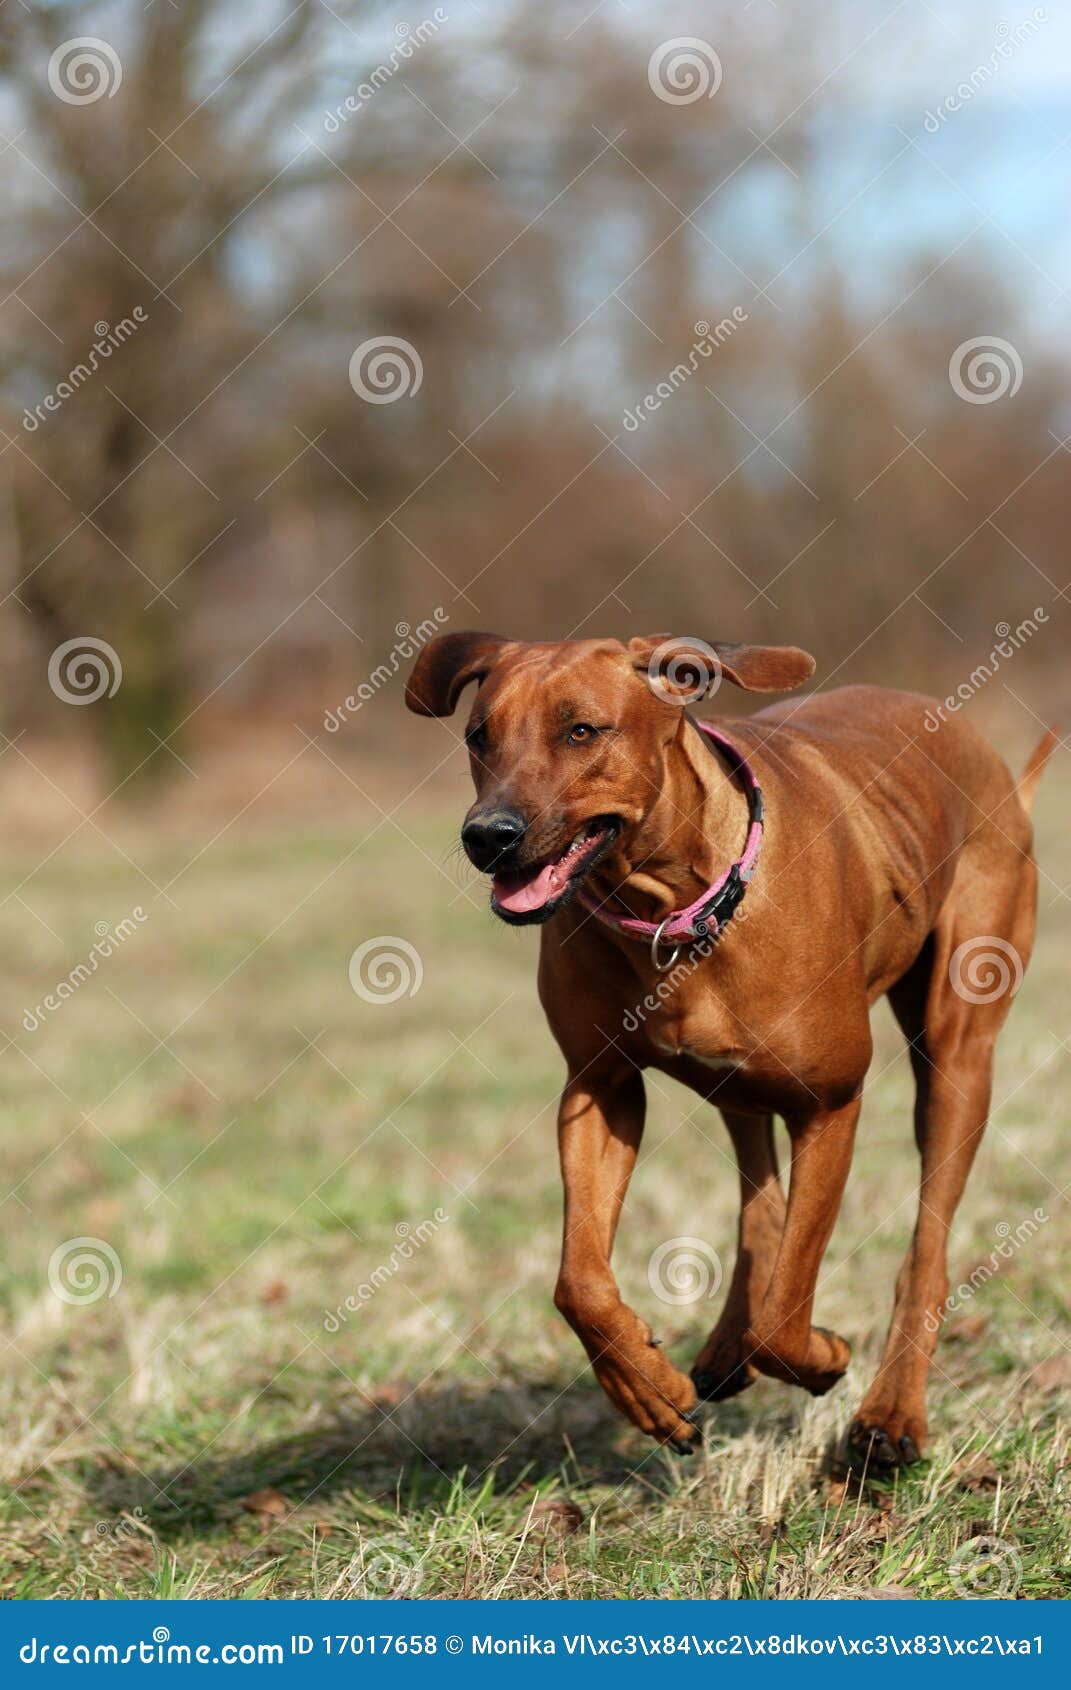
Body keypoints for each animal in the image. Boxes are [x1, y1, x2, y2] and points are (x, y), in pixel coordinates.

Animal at [403, 635, 1047, 1466]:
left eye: (581, 731)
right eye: (478, 736)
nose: (488, 835)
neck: (673, 903)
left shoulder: (830, 1104)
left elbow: (786, 1315)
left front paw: (823, 1356)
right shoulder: (599, 1086)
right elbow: (579, 1282)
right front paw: (647, 1389)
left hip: (955, 1054)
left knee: (923, 1252)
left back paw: (889, 1415)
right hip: (740, 1082)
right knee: (759, 1206)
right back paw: (725, 1349)